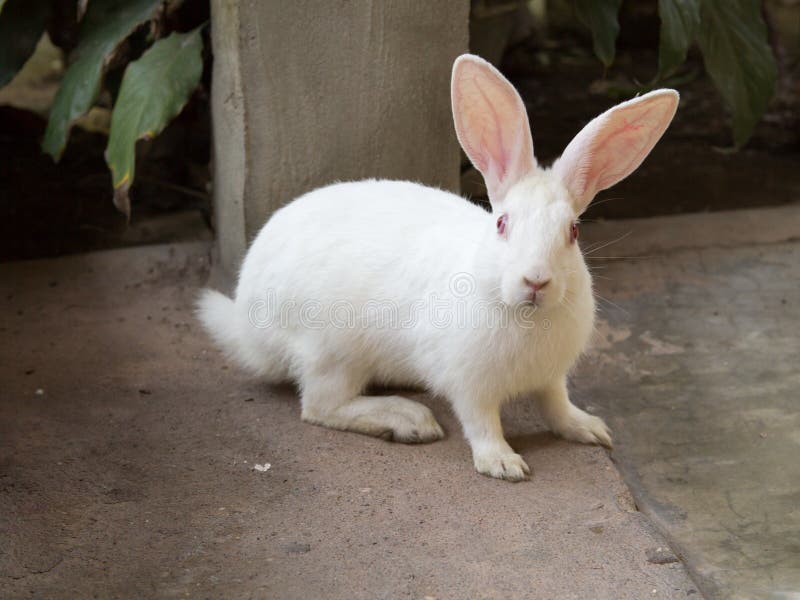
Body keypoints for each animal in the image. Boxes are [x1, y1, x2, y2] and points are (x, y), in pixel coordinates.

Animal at [198, 53, 678, 481]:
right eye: (503, 224)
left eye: (573, 232)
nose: (536, 281)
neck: (518, 310)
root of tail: (247, 323)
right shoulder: (470, 385)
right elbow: (482, 424)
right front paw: (503, 464)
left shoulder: (550, 378)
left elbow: (557, 407)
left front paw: (591, 429)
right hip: (330, 351)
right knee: (320, 407)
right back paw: (409, 419)